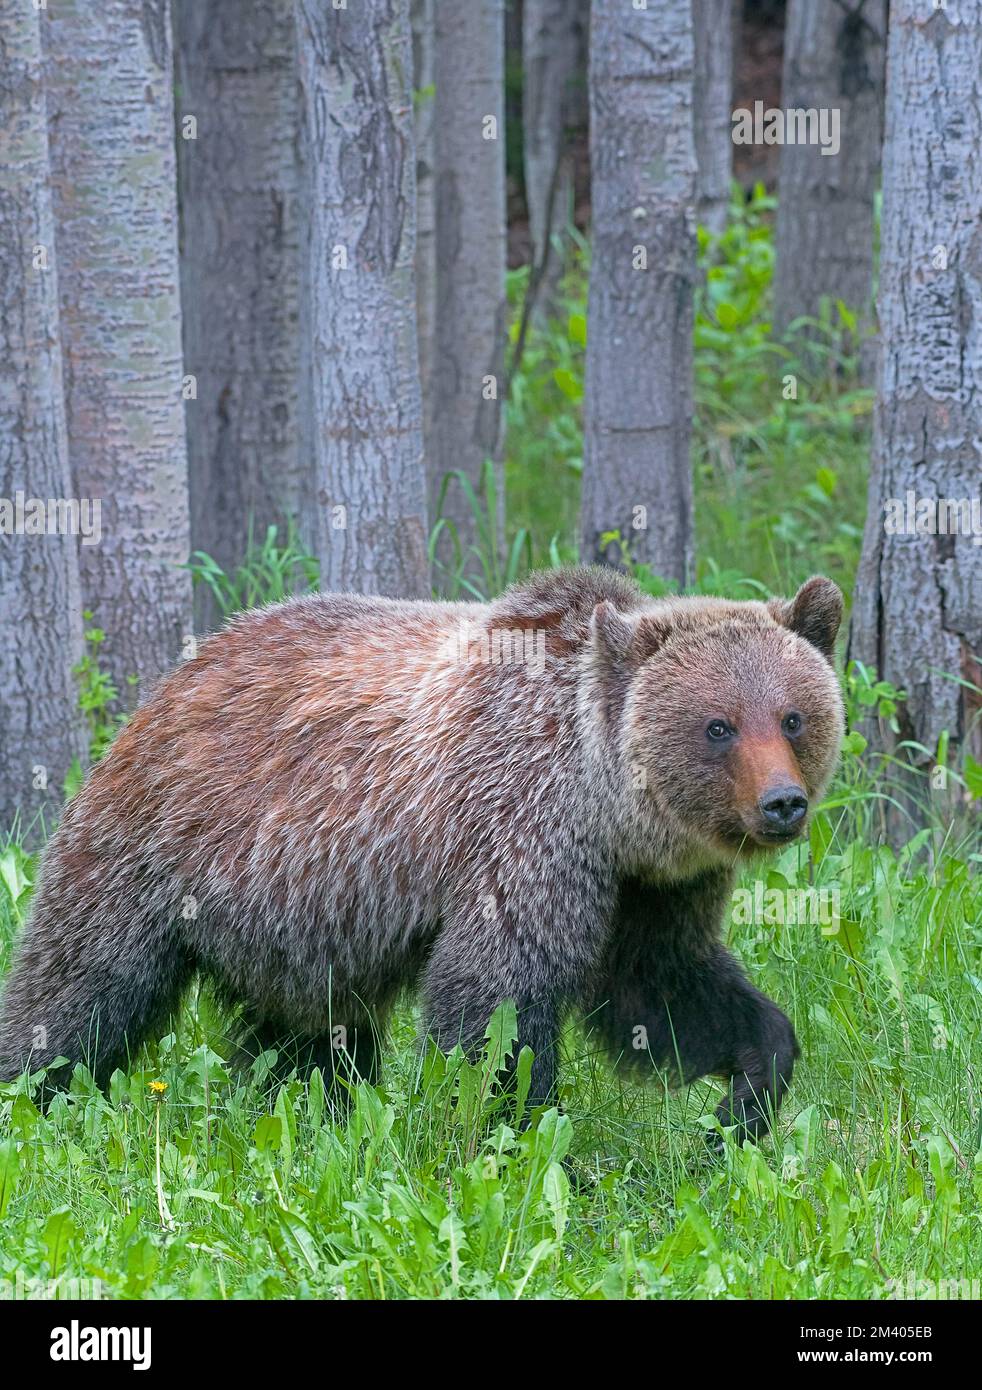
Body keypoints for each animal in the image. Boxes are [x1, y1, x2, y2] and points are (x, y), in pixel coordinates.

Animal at [0, 567, 844, 1143]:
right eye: (718, 725)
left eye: (793, 716)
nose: (782, 803)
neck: (608, 809)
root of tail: (175, 677)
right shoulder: (519, 831)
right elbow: (496, 1009)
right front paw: (524, 1144)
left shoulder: (650, 886)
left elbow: (662, 991)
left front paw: (742, 1103)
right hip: (153, 853)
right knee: (79, 992)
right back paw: (31, 1099)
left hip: (291, 920)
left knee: (305, 1038)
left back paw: (318, 1119)